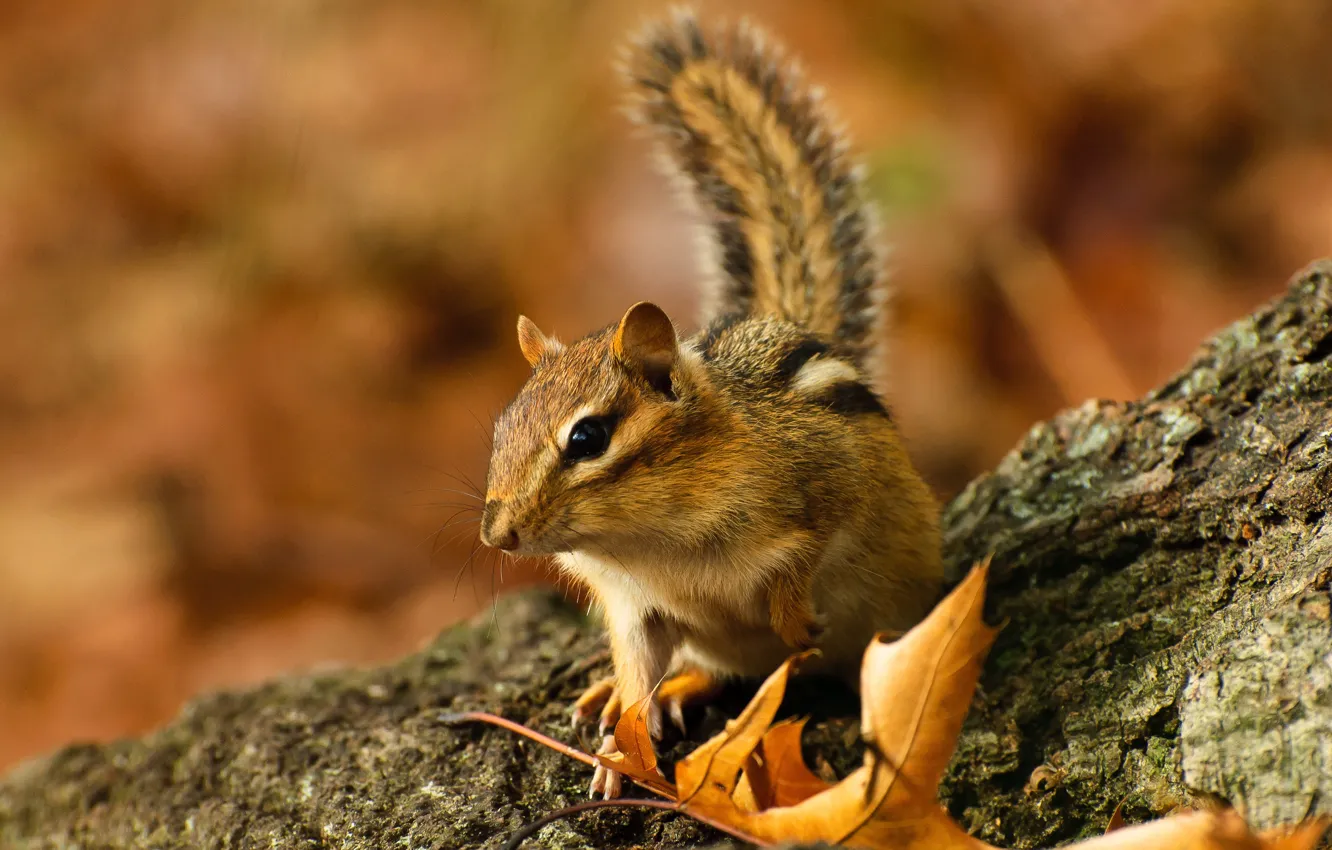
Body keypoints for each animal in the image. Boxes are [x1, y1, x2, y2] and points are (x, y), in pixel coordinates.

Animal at [478, 10, 943, 798]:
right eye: (500, 429)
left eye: (587, 438)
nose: (497, 535)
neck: (651, 538)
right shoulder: (634, 606)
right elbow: (637, 667)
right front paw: (617, 751)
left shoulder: (822, 485)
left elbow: (803, 557)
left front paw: (793, 616)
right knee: (705, 674)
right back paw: (655, 692)